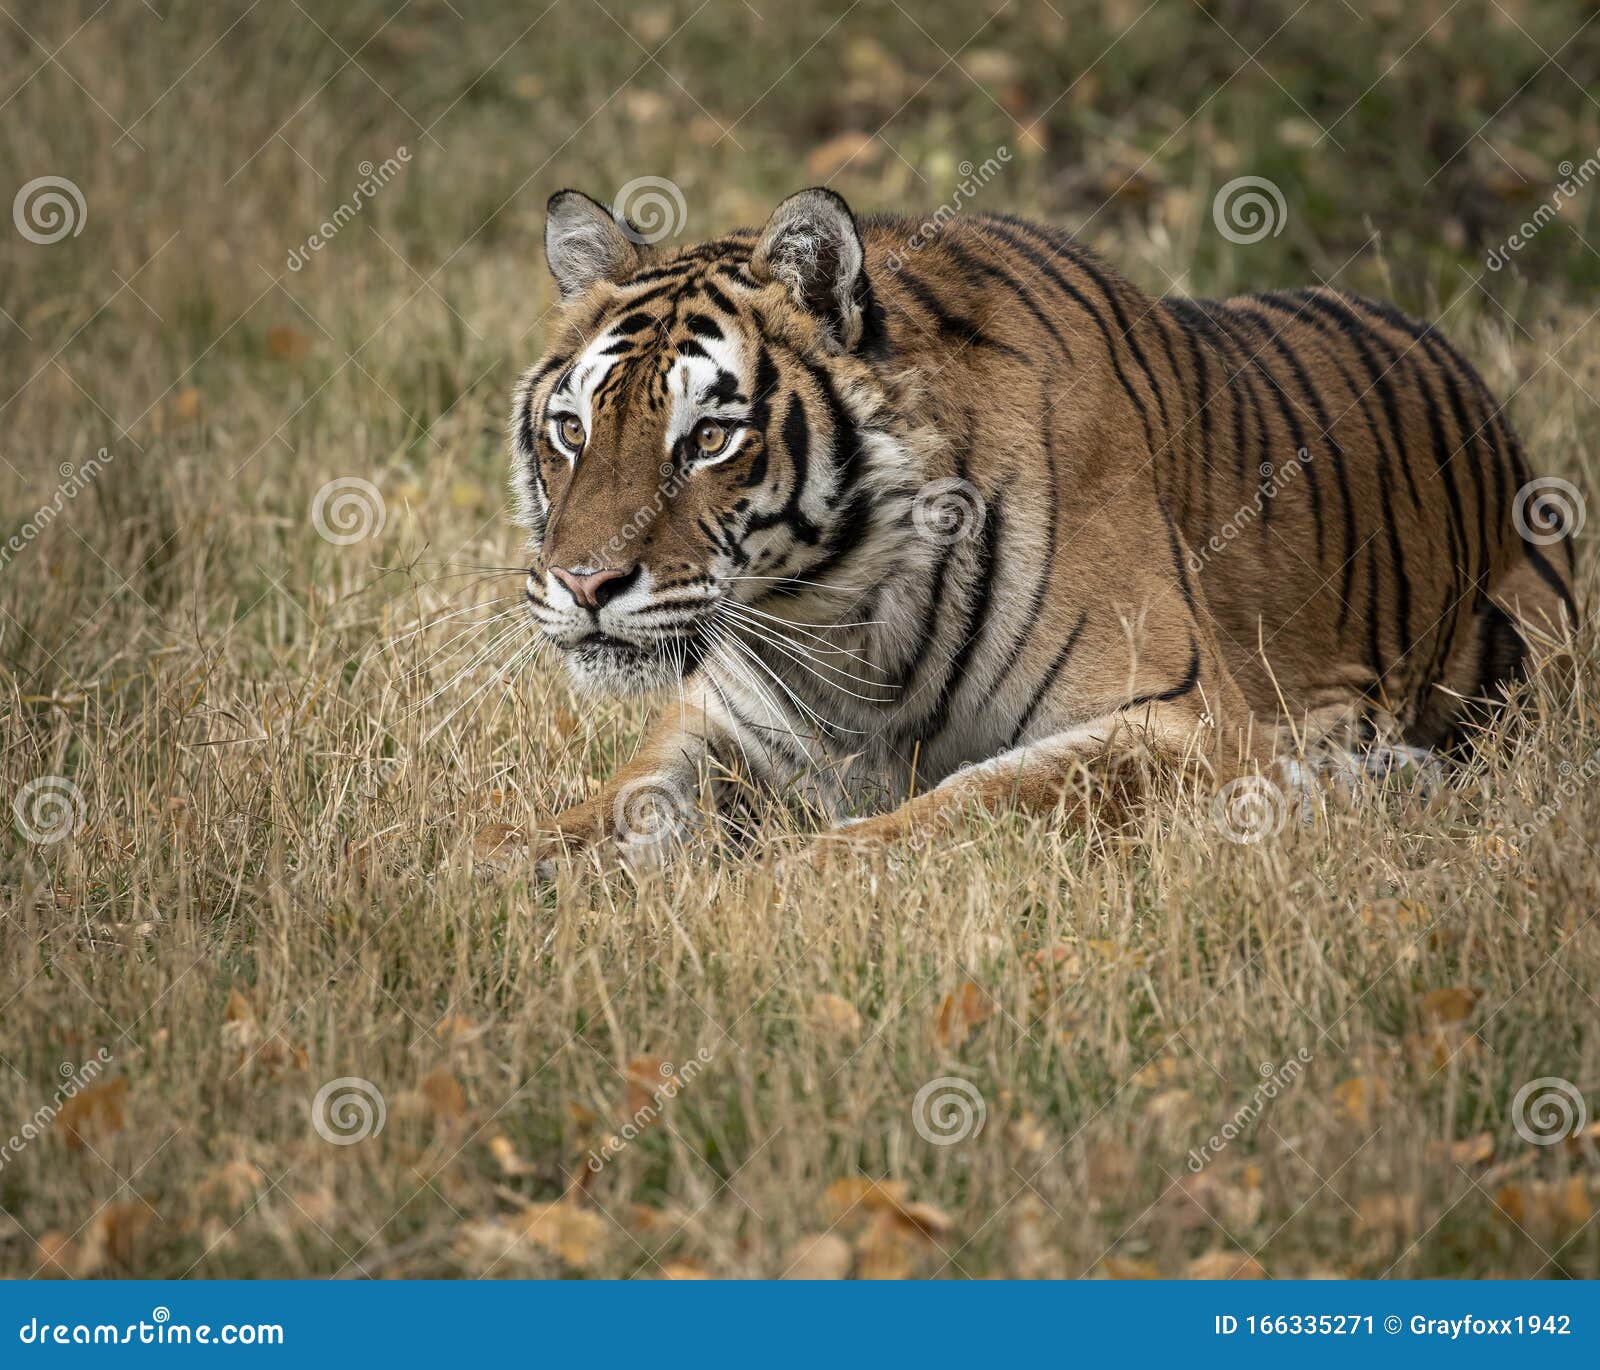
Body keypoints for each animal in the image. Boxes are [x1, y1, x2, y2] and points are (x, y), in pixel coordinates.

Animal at [505, 185, 1576, 863]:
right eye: (572, 428)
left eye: (710, 438)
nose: (584, 586)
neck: (838, 627)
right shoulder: (720, 722)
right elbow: (610, 807)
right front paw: (500, 870)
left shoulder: (1185, 723)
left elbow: (971, 801)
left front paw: (782, 883)